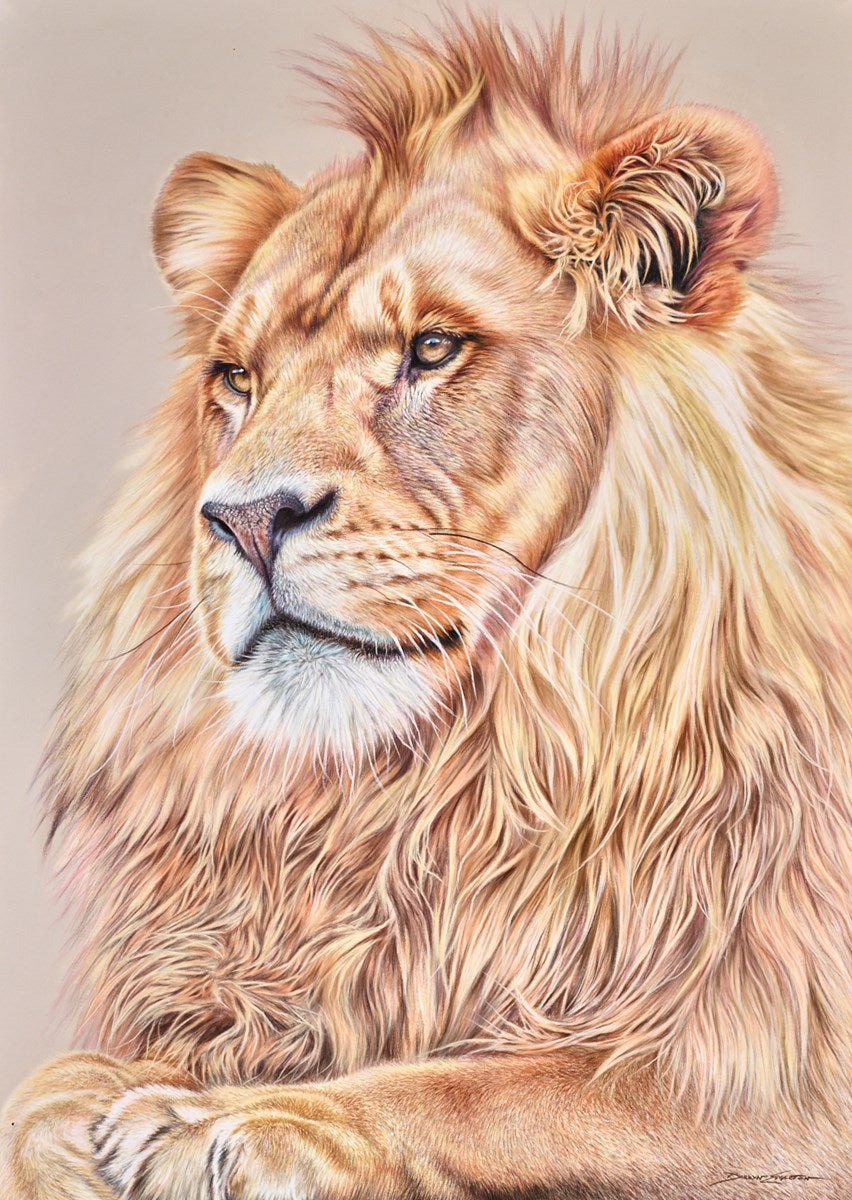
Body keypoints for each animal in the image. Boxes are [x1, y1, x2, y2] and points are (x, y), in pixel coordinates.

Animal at [2, 16, 850, 1200]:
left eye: (433, 349)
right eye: (238, 378)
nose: (246, 519)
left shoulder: (776, 1079)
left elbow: (510, 1093)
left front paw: (234, 1123)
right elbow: (47, 1088)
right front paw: (89, 1113)